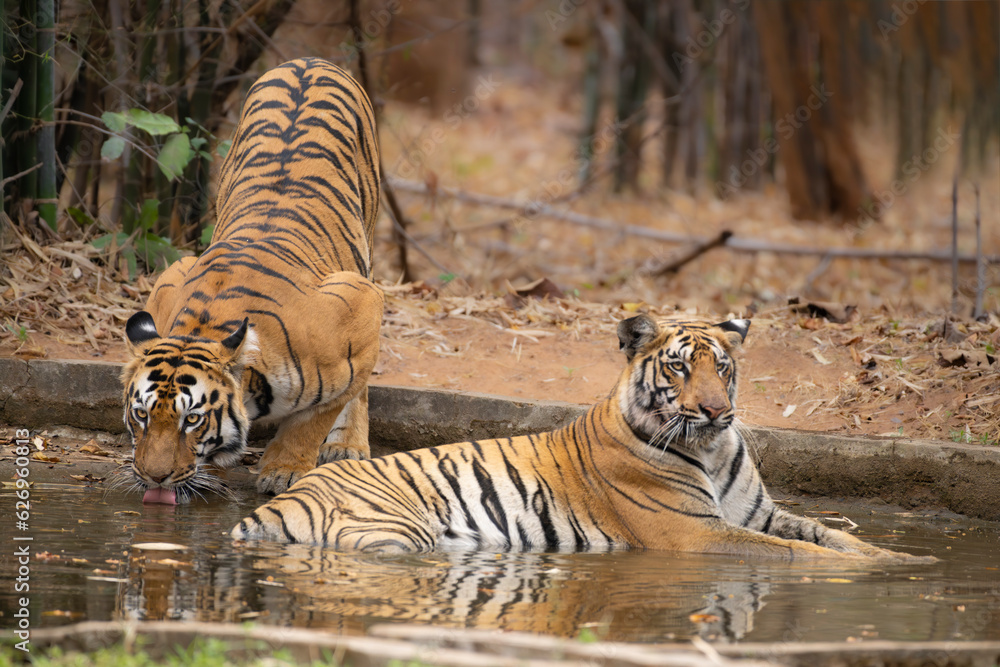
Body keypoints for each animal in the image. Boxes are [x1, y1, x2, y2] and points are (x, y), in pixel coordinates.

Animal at [121, 58, 384, 505]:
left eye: (192, 420)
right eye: (141, 414)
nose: (153, 477)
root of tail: (310, 61)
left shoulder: (358, 305)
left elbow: (317, 415)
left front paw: (285, 471)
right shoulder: (170, 279)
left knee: (359, 389)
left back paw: (347, 445)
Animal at [232, 314, 934, 563]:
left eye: (723, 366)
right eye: (680, 367)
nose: (715, 410)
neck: (711, 449)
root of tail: (285, 496)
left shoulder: (759, 513)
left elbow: (830, 534)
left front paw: (907, 561)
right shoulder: (696, 533)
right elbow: (799, 553)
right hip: (396, 531)